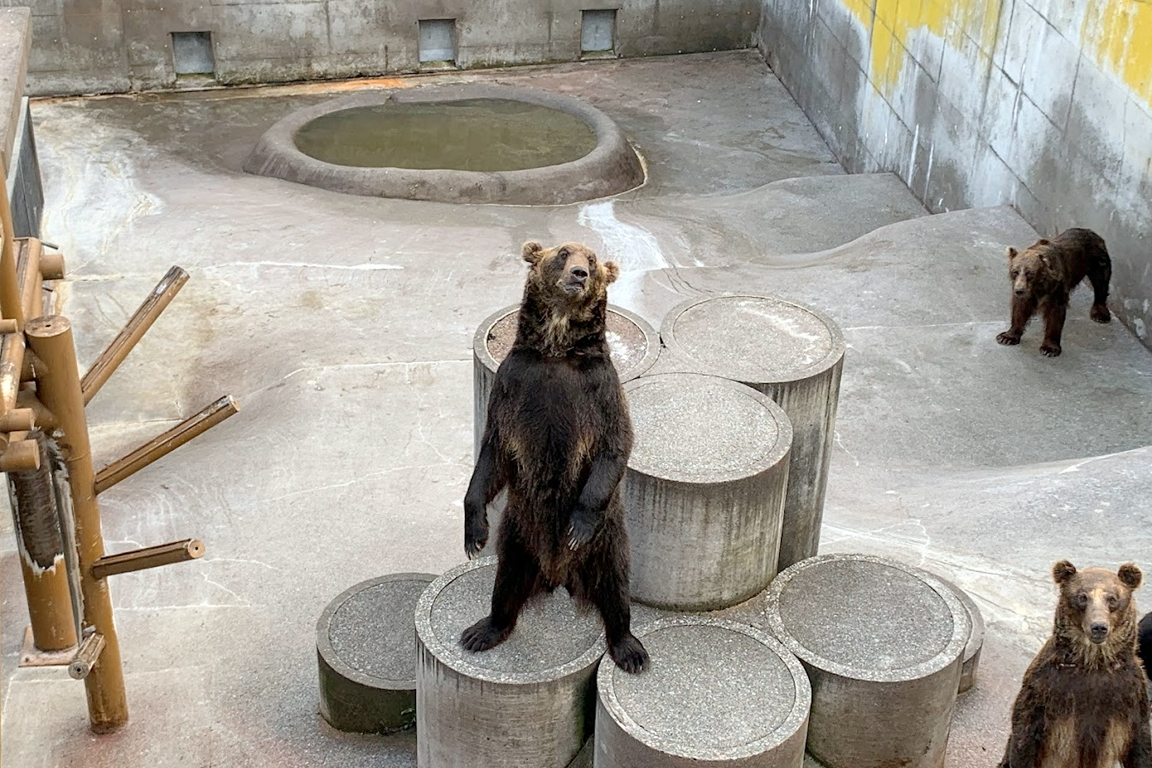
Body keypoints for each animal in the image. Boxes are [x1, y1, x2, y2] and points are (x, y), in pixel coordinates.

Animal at [460, 240, 649, 674]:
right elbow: (492, 453)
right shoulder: (513, 386)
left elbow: (614, 445)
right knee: (506, 581)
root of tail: (558, 574)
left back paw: (629, 648)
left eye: (592, 260)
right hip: (517, 533)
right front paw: (473, 533)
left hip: (608, 540)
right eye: (563, 253)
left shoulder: (599, 390)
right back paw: (483, 630)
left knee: (615, 586)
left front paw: (576, 524)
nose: (580, 273)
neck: (556, 351)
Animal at [995, 228, 1112, 357]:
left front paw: (1049, 348)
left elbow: (1054, 314)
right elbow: (1020, 309)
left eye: (1030, 273)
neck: (1038, 285)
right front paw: (1006, 337)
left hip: (1097, 259)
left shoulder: (1056, 289)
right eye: (1015, 271)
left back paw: (1100, 314)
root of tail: (1091, 231)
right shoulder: (1025, 291)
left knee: (1101, 282)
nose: (1019, 290)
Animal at [998, 560, 1150, 768]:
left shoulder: (1130, 694)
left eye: (1112, 598)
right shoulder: (1044, 689)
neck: (1093, 663)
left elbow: (1140, 745)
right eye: (1082, 597)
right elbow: (1024, 736)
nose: (1099, 627)